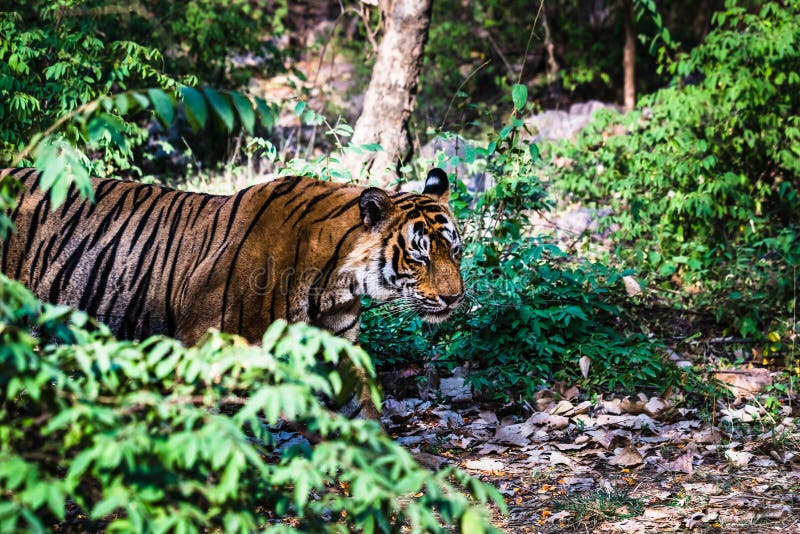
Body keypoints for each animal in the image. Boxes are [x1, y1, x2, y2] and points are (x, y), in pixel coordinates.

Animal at [0, 166, 464, 413]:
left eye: (456, 251)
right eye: (419, 257)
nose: (455, 298)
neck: (338, 280)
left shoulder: (335, 344)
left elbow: (363, 406)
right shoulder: (201, 345)